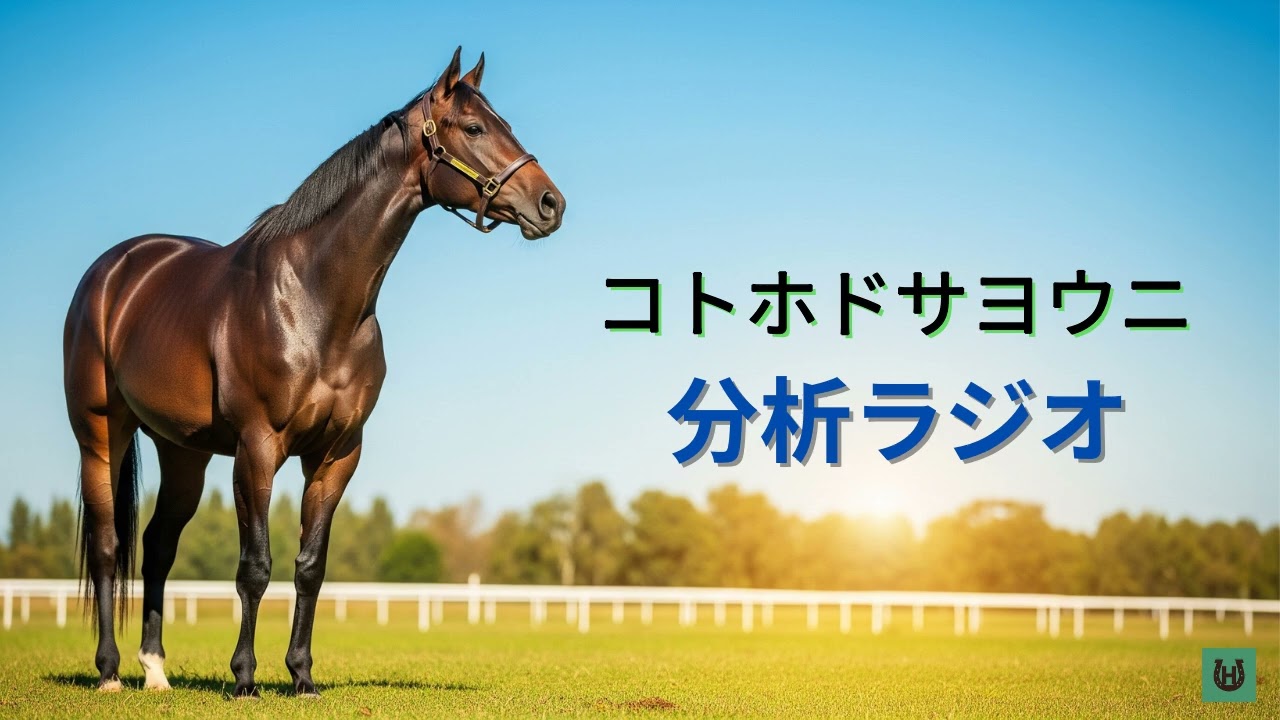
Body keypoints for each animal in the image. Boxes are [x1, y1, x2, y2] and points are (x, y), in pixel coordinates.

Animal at [62, 47, 564, 697]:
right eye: (475, 128)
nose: (551, 203)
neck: (314, 299)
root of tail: (113, 271)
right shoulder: (257, 449)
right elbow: (255, 568)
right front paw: (245, 677)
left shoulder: (336, 454)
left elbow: (310, 567)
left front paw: (301, 675)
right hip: (101, 435)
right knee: (107, 547)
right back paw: (109, 671)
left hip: (184, 453)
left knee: (157, 547)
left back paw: (155, 670)